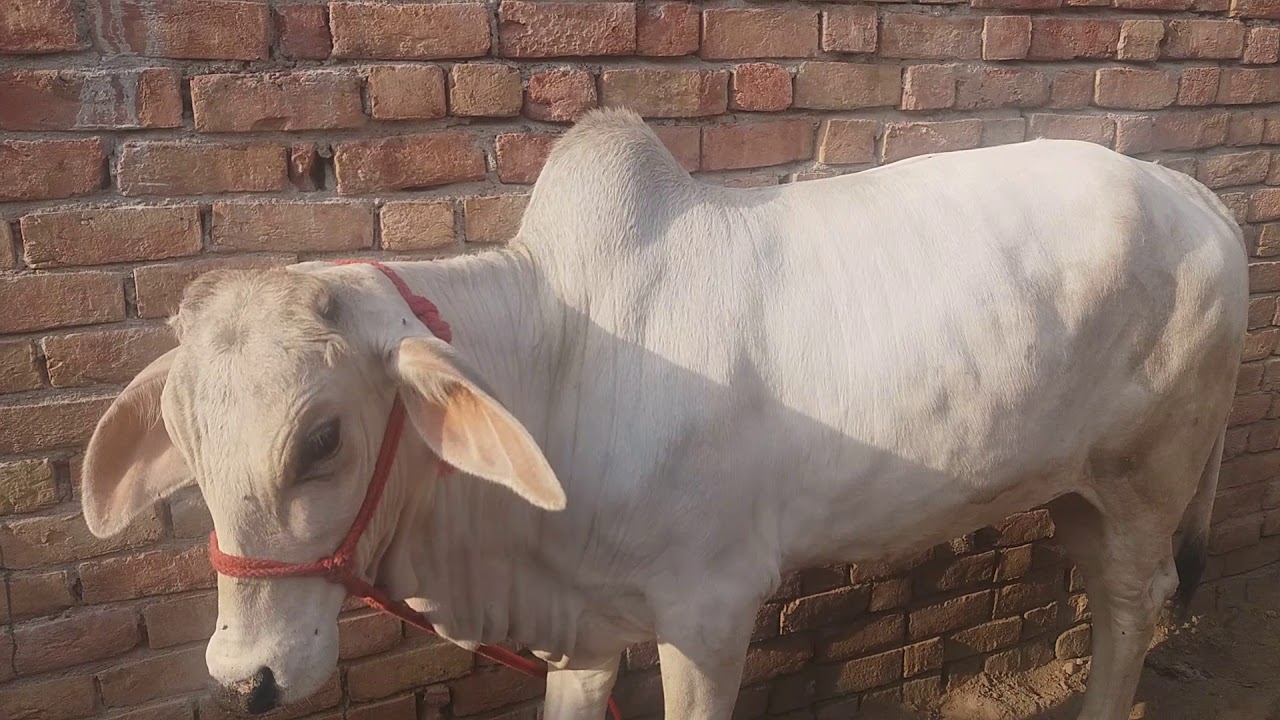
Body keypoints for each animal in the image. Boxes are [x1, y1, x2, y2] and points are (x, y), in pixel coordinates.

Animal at [80, 108, 1247, 720]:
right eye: (185, 440)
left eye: (322, 438)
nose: (245, 676)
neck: (556, 359)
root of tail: (1191, 195)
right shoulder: (577, 634)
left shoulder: (710, 614)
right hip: (1079, 487)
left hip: (1149, 474)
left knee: (1134, 600)